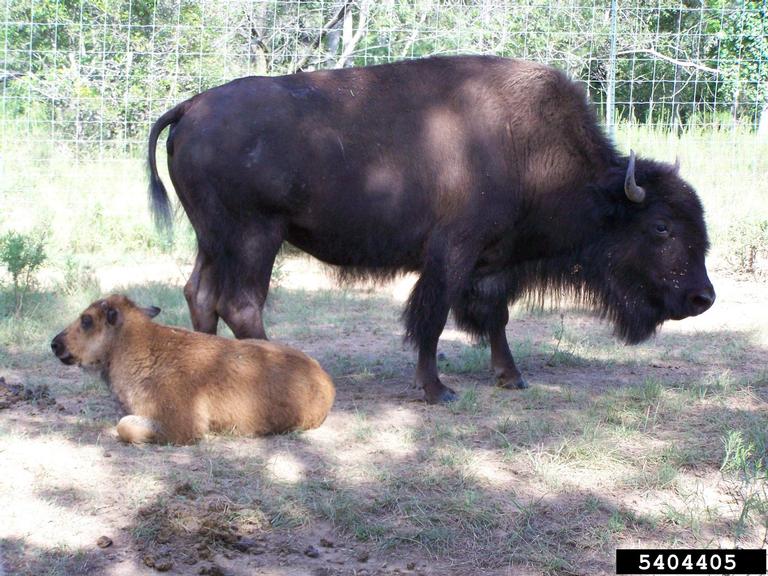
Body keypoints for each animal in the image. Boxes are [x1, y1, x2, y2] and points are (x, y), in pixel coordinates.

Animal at [147, 55, 715, 404]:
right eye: (661, 227)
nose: (702, 298)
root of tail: (191, 106)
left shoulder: (491, 262)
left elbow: (495, 318)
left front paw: (511, 378)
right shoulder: (452, 253)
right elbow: (433, 317)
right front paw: (438, 390)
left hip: (214, 239)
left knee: (200, 294)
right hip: (255, 237)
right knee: (242, 304)